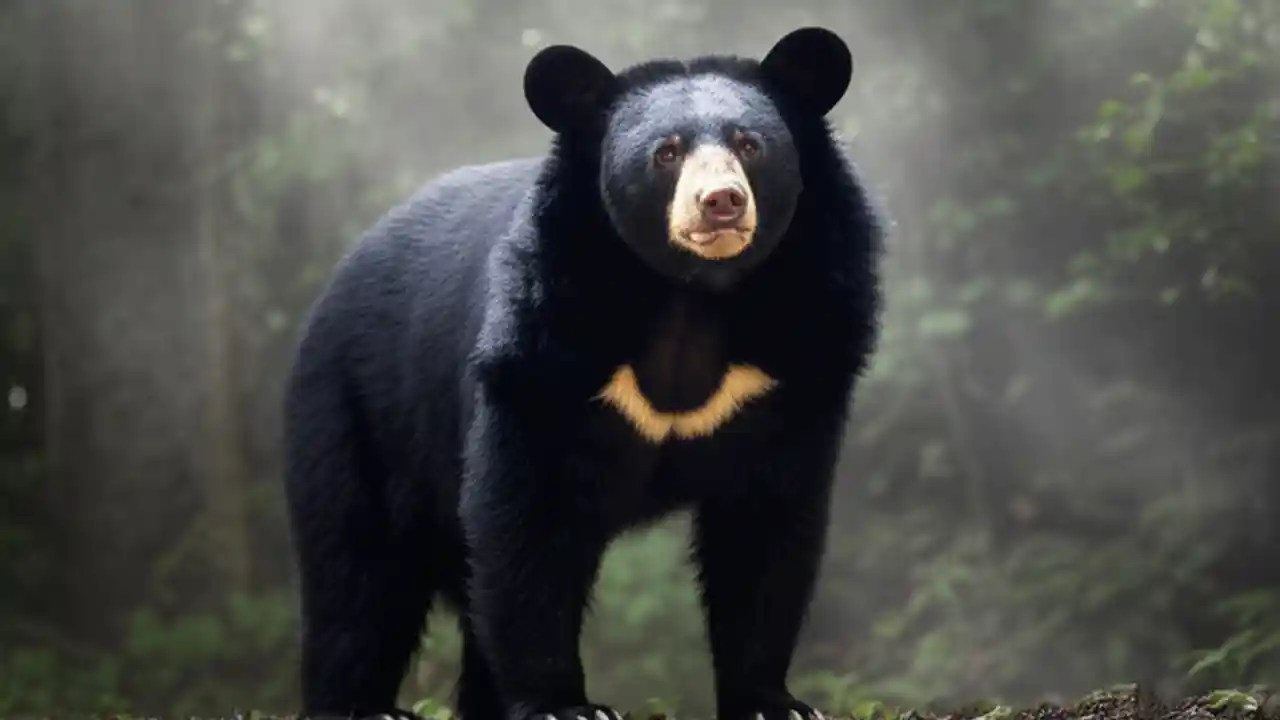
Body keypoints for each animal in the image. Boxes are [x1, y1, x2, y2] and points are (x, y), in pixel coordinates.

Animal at [283, 26, 881, 720]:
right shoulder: (542, 351)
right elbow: (529, 523)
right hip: (360, 410)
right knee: (362, 567)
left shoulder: (802, 357)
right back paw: (365, 704)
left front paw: (772, 701)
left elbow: (766, 525)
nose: (722, 204)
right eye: (666, 153)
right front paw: (562, 704)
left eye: (749, 145)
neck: (691, 295)